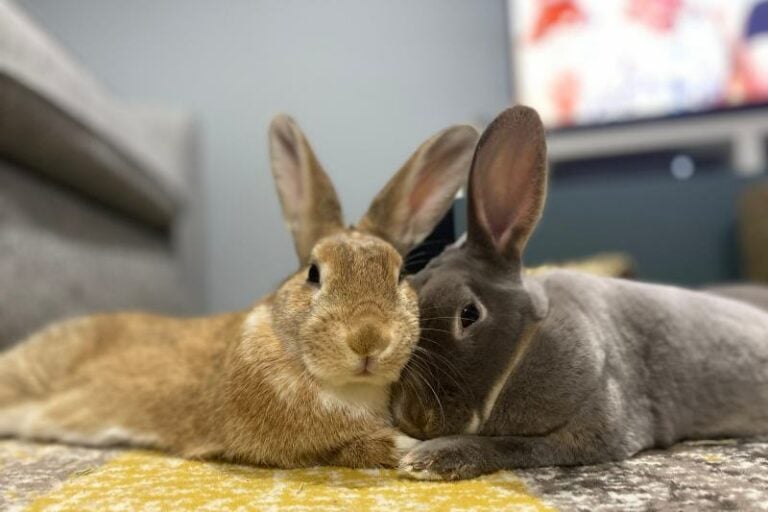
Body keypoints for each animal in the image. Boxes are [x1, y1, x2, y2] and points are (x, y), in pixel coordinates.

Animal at [392, 106, 768, 480]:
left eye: (469, 314)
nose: (416, 417)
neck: (526, 341)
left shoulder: (588, 428)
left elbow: (512, 447)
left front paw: (426, 459)